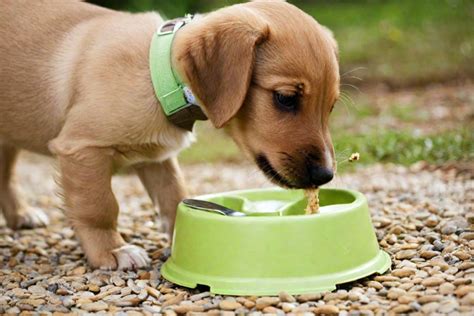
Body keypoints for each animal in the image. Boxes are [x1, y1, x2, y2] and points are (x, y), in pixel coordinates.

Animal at [0, 0, 340, 270]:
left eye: (332, 105)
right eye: (285, 98)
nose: (325, 176)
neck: (159, 77)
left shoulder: (155, 159)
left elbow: (174, 196)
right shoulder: (83, 148)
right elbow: (99, 206)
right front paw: (112, 250)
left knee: (6, 178)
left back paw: (21, 215)